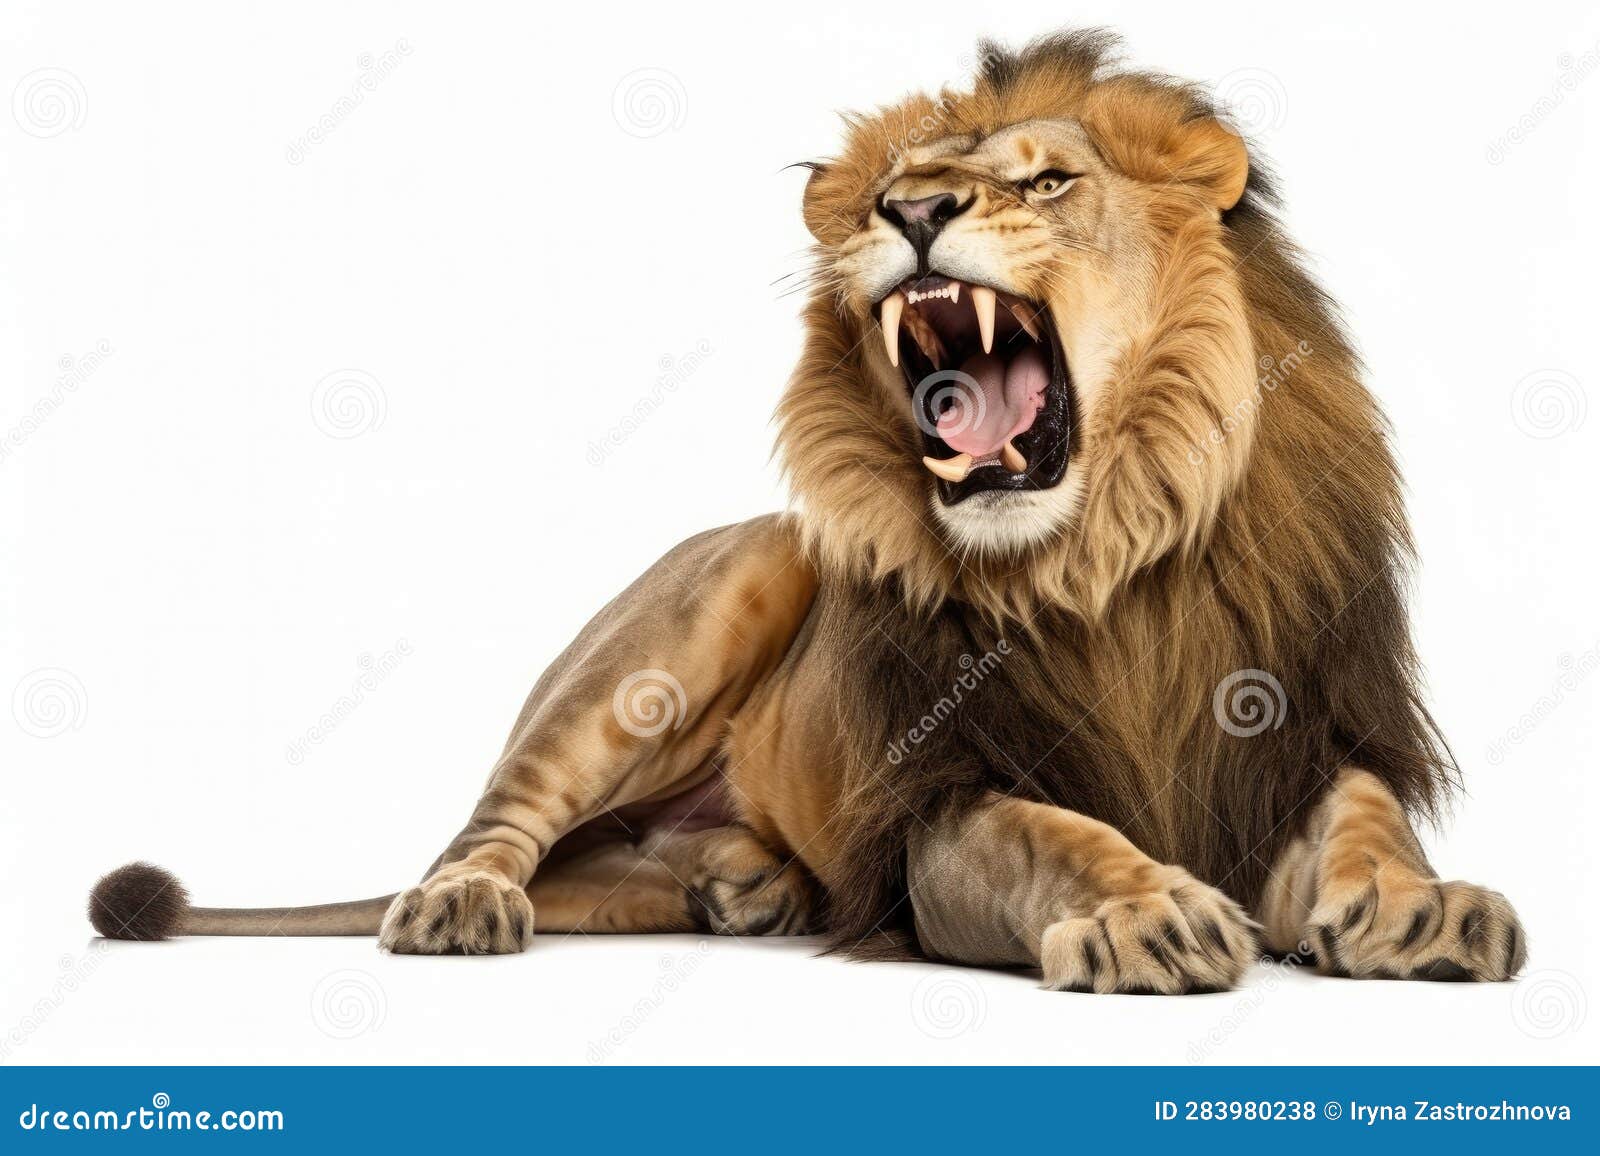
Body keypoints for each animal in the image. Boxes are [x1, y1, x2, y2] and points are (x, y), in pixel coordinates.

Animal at [89, 31, 1526, 992]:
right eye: (904, 180)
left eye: (1047, 182)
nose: (914, 208)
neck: (1095, 562)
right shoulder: (939, 806)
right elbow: (1056, 837)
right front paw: (1145, 910)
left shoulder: (1294, 740)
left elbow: (1368, 817)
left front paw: (1428, 908)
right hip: (694, 617)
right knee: (495, 828)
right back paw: (465, 905)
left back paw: (743, 885)